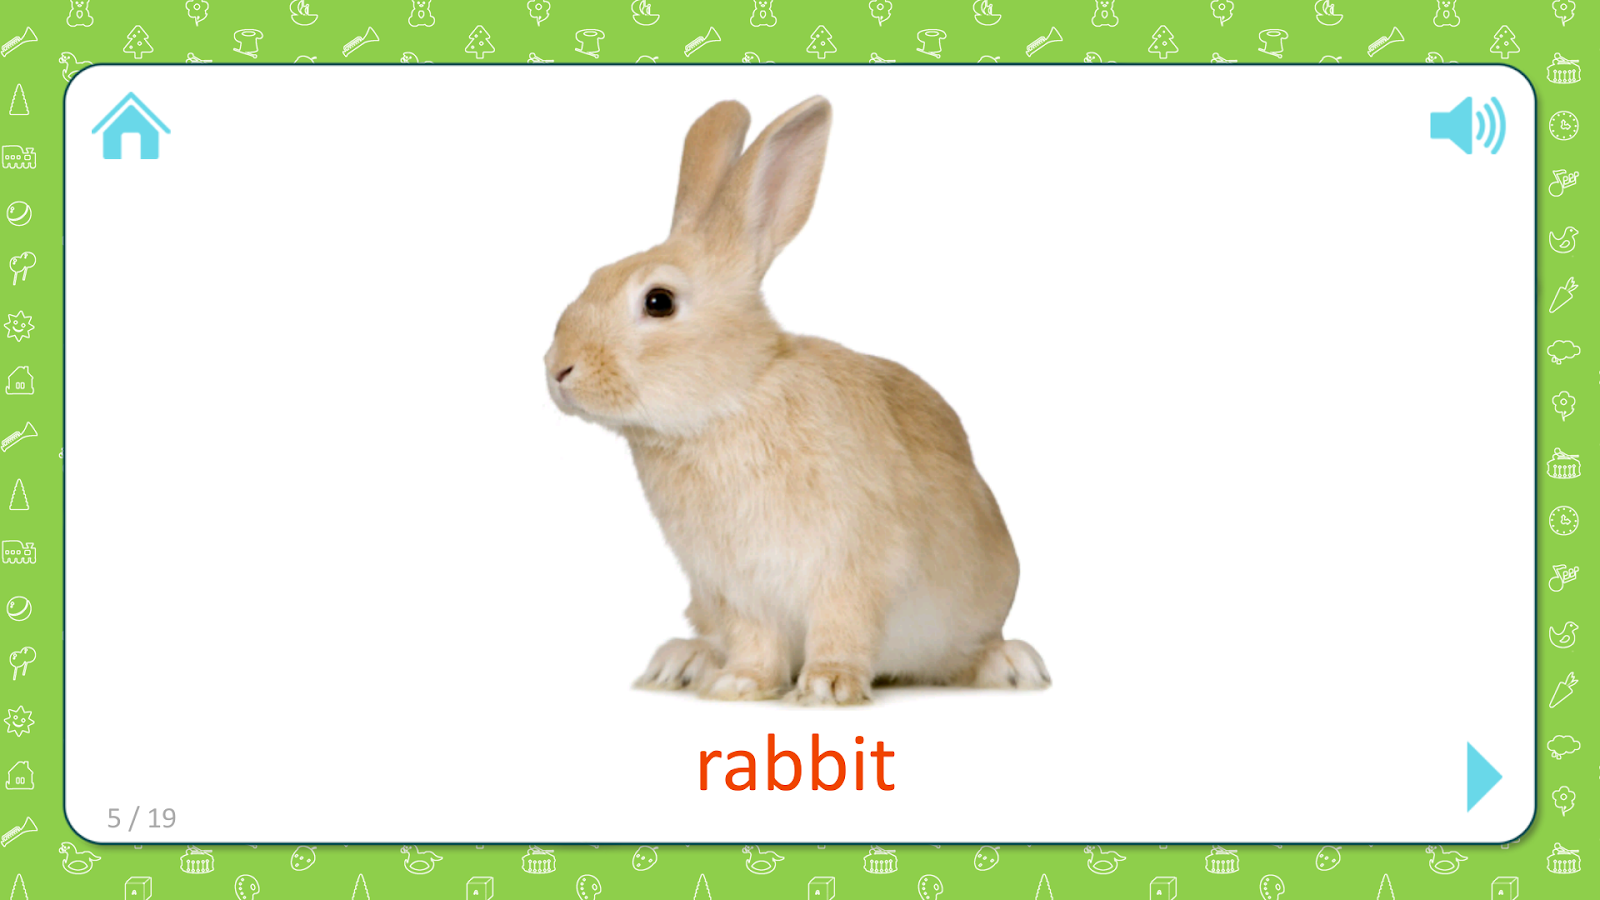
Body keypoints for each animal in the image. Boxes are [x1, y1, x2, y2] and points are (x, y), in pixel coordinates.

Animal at [544, 96, 1049, 704]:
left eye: (658, 301)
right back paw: (682, 663)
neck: (736, 397)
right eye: (595, 275)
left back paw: (1015, 666)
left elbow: (842, 625)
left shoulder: (853, 566)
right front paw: (739, 683)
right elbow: (756, 641)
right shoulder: (735, 590)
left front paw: (827, 687)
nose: (557, 369)